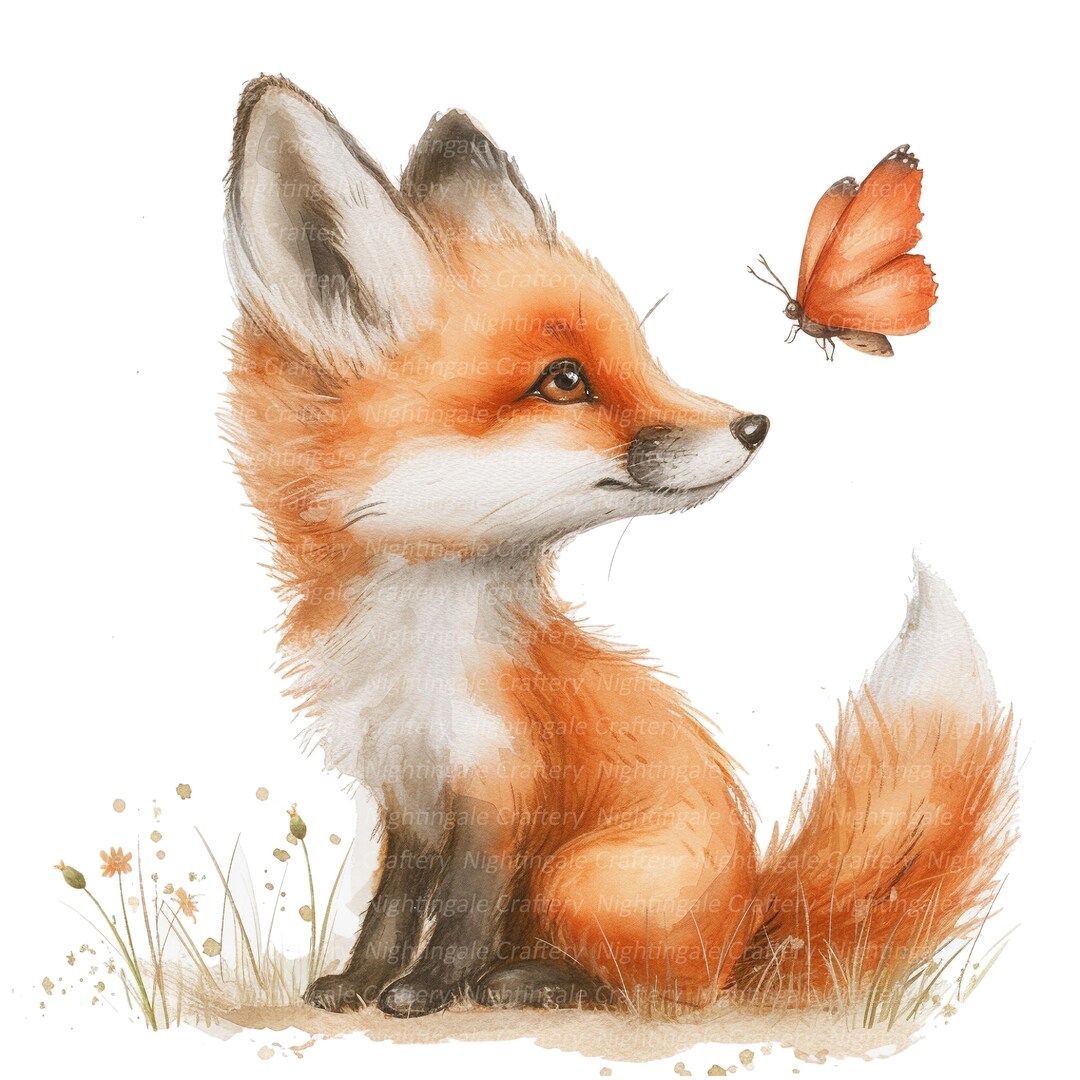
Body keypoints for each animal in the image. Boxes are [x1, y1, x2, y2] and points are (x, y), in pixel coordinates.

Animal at [222, 75, 1017, 1019]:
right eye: (565, 379)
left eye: (641, 357)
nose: (754, 425)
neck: (419, 658)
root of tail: (748, 925)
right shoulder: (407, 794)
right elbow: (392, 907)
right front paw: (359, 983)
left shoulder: (504, 788)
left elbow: (466, 911)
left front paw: (428, 989)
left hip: (583, 879)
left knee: (660, 990)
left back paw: (528, 980)